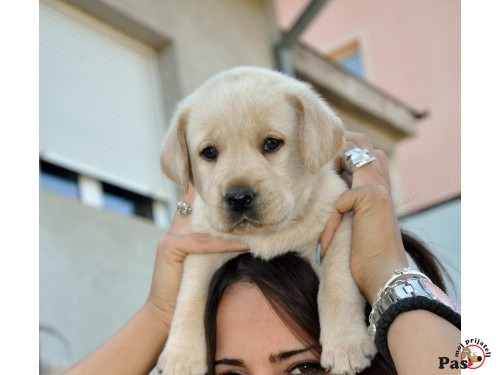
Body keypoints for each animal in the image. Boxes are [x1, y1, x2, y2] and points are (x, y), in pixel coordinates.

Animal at [158, 66, 376, 374]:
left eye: (272, 143)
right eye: (209, 152)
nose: (238, 197)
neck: (266, 234)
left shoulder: (337, 227)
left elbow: (336, 287)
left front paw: (346, 345)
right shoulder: (202, 249)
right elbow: (189, 297)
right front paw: (181, 356)